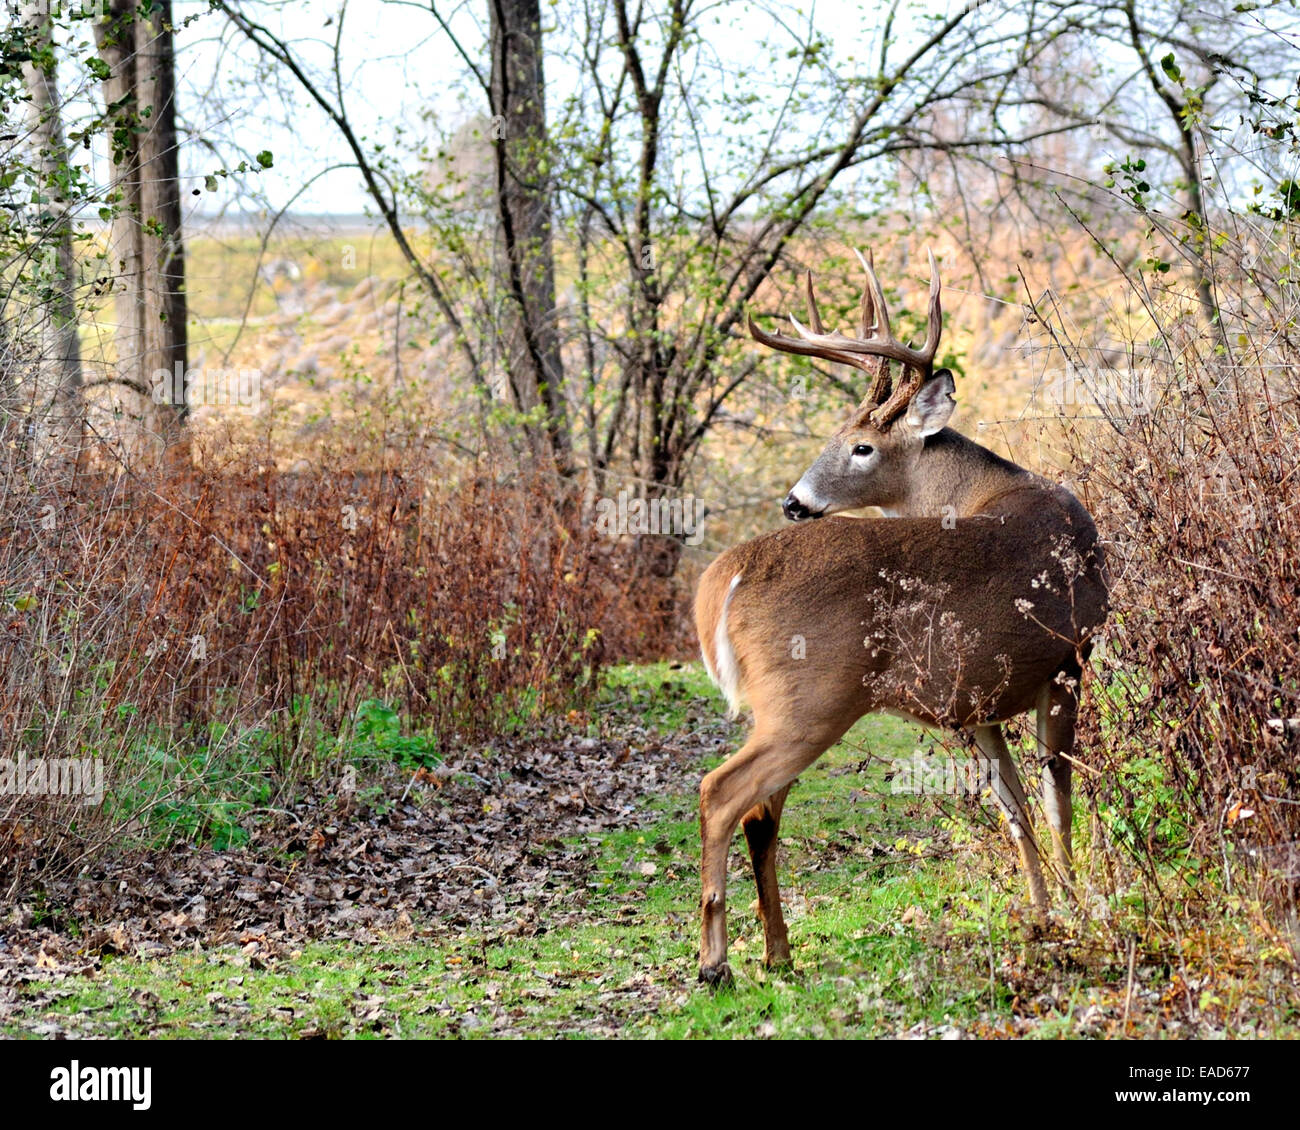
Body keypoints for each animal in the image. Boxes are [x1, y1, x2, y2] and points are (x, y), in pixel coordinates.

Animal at [693, 249, 1108, 985]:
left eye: (859, 445)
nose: (794, 502)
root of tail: (725, 578)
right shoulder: (1066, 659)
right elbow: (1058, 801)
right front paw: (1076, 908)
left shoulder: (974, 702)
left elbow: (1017, 811)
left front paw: (1042, 918)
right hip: (812, 698)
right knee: (722, 793)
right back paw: (716, 964)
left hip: (784, 705)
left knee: (760, 812)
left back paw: (779, 953)